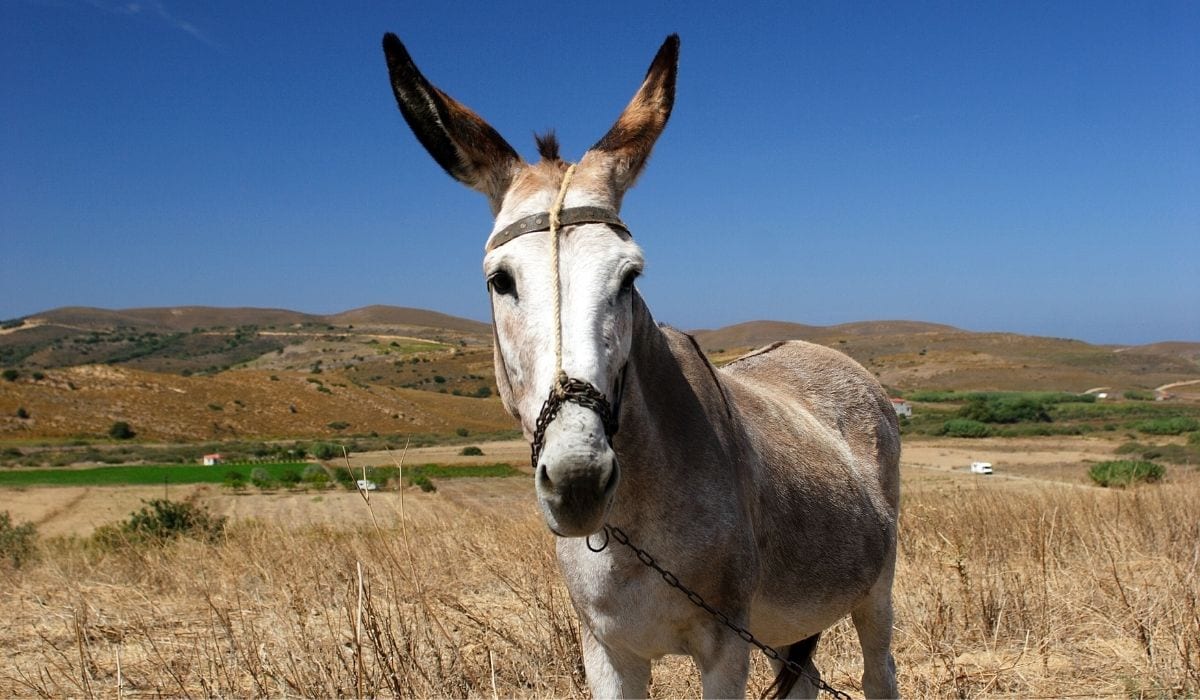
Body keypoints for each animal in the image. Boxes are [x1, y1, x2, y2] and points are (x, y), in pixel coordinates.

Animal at [381, 33, 900, 699]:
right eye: (501, 281)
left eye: (629, 277)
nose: (579, 480)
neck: (630, 522)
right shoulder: (607, 651)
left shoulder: (726, 649)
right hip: (789, 620)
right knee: (804, 676)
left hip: (874, 588)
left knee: (877, 670)